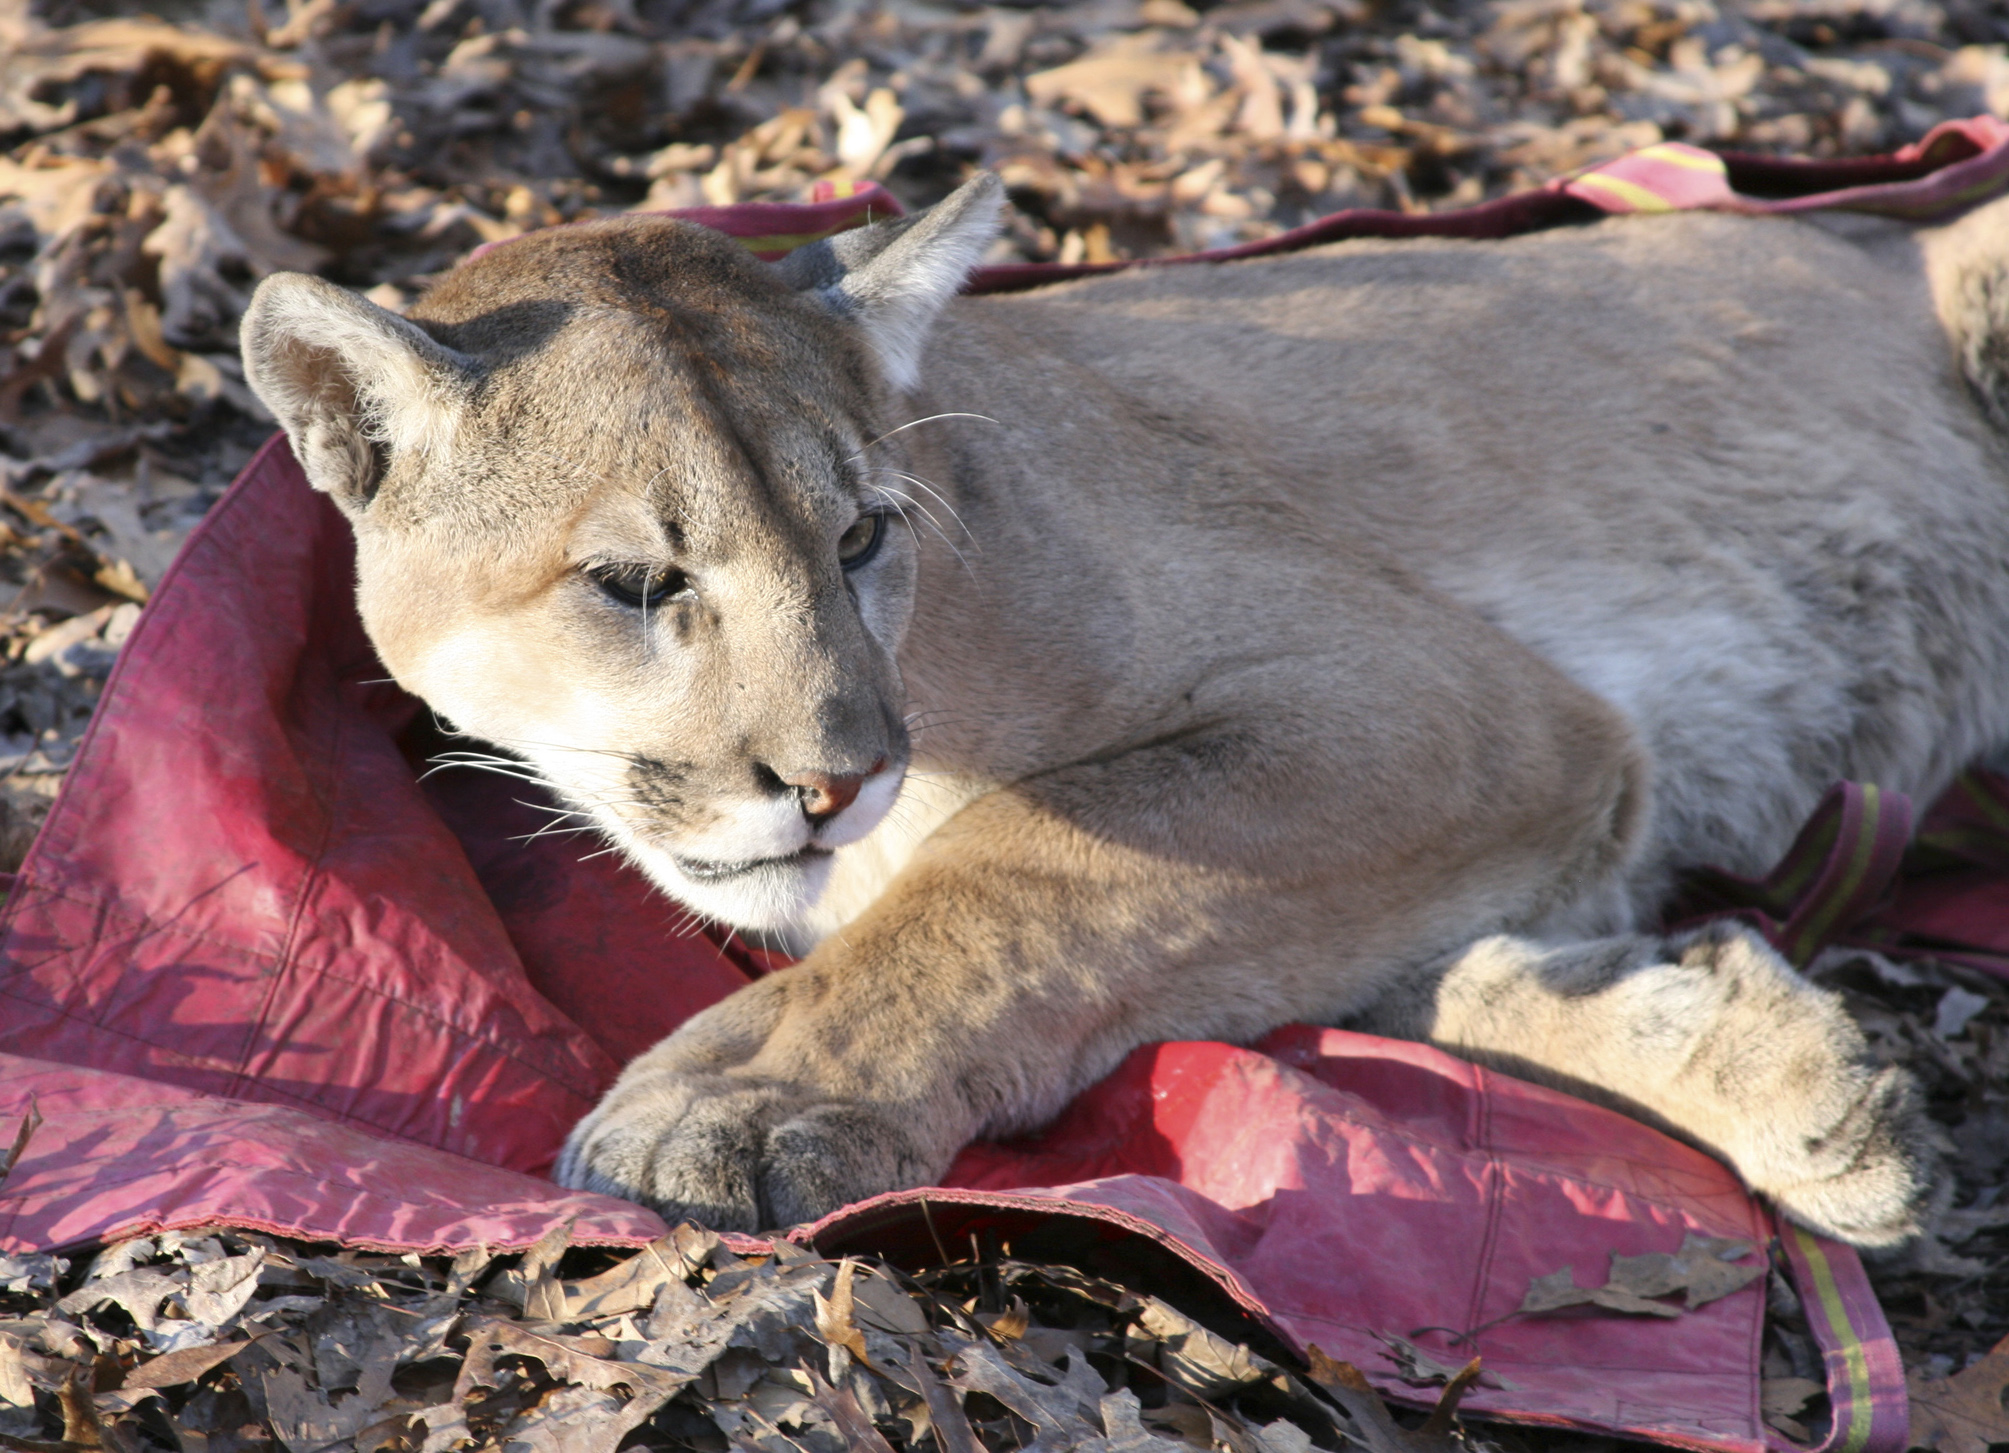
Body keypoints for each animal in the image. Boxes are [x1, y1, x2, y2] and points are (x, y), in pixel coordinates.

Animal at [238, 172, 2009, 1246]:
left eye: (860, 535)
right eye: (632, 580)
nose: (835, 779)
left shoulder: (1457, 707)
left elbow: (1030, 861)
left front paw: (745, 1095)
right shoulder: (1512, 800)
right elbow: (1413, 989)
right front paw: (1768, 1071)